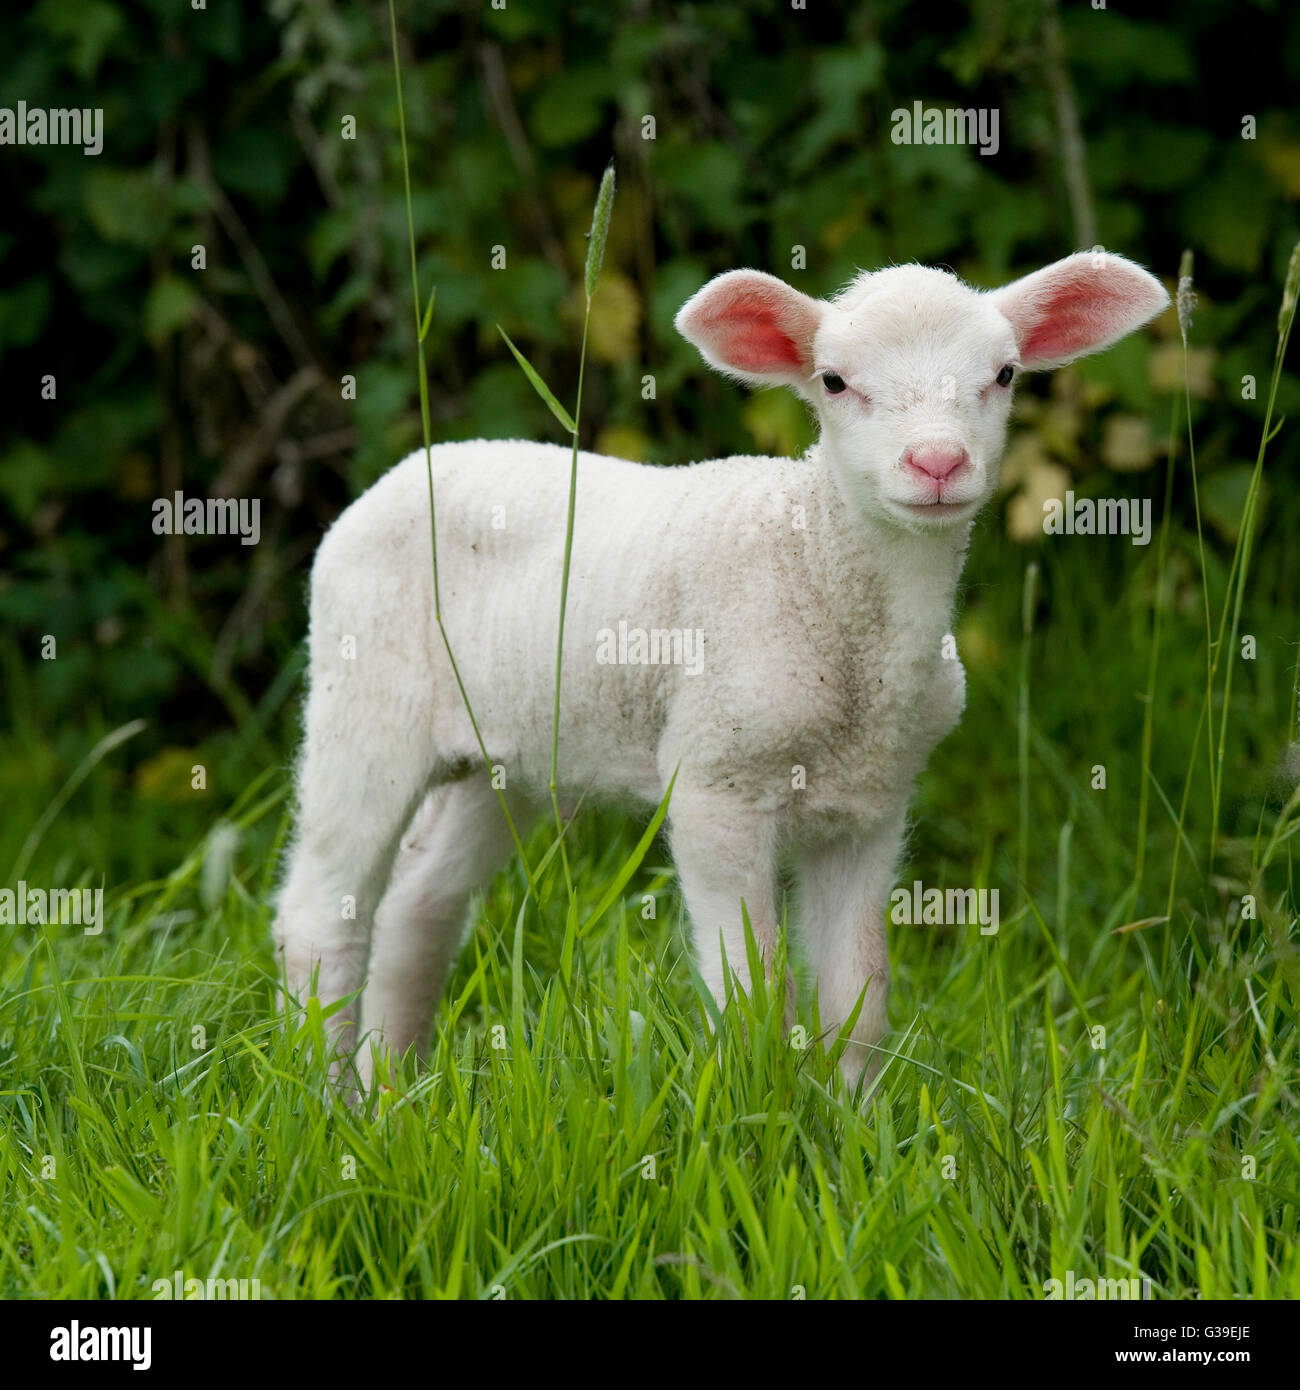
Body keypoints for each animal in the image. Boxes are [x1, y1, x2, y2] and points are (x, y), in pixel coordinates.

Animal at [273, 250, 1169, 1091]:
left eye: (1005, 373)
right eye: (834, 380)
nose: (938, 463)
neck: (818, 571)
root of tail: (408, 470)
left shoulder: (874, 803)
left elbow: (859, 999)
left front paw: (854, 1128)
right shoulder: (717, 781)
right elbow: (754, 994)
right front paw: (757, 1110)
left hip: (510, 758)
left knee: (419, 904)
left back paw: (388, 1091)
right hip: (364, 703)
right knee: (320, 912)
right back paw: (326, 1096)